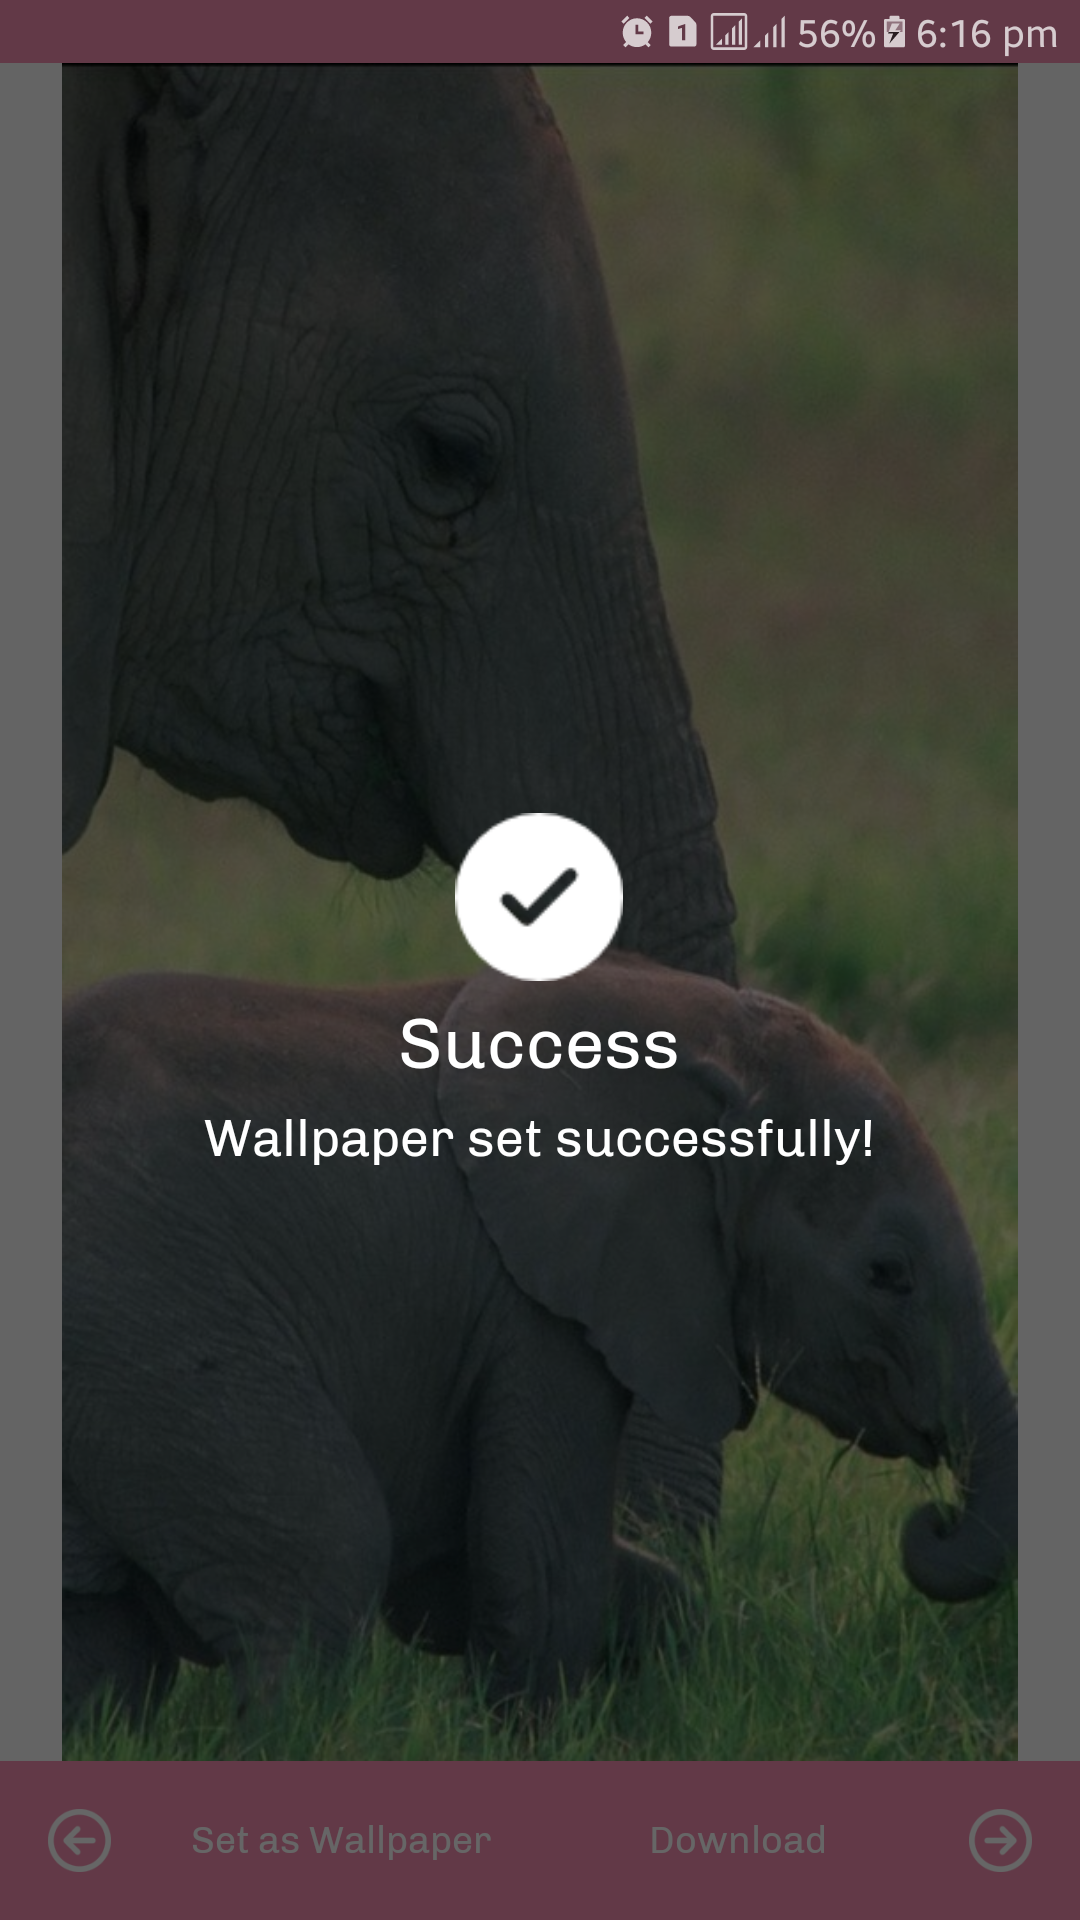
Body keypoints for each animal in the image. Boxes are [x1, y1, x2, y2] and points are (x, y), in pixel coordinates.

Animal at [63, 955, 1017, 1730]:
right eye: (888, 1273)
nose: (931, 1521)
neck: (702, 1036)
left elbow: (486, 1572)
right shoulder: (536, 1305)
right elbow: (543, 1570)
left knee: (103, 1652)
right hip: (146, 1318)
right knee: (317, 1570)